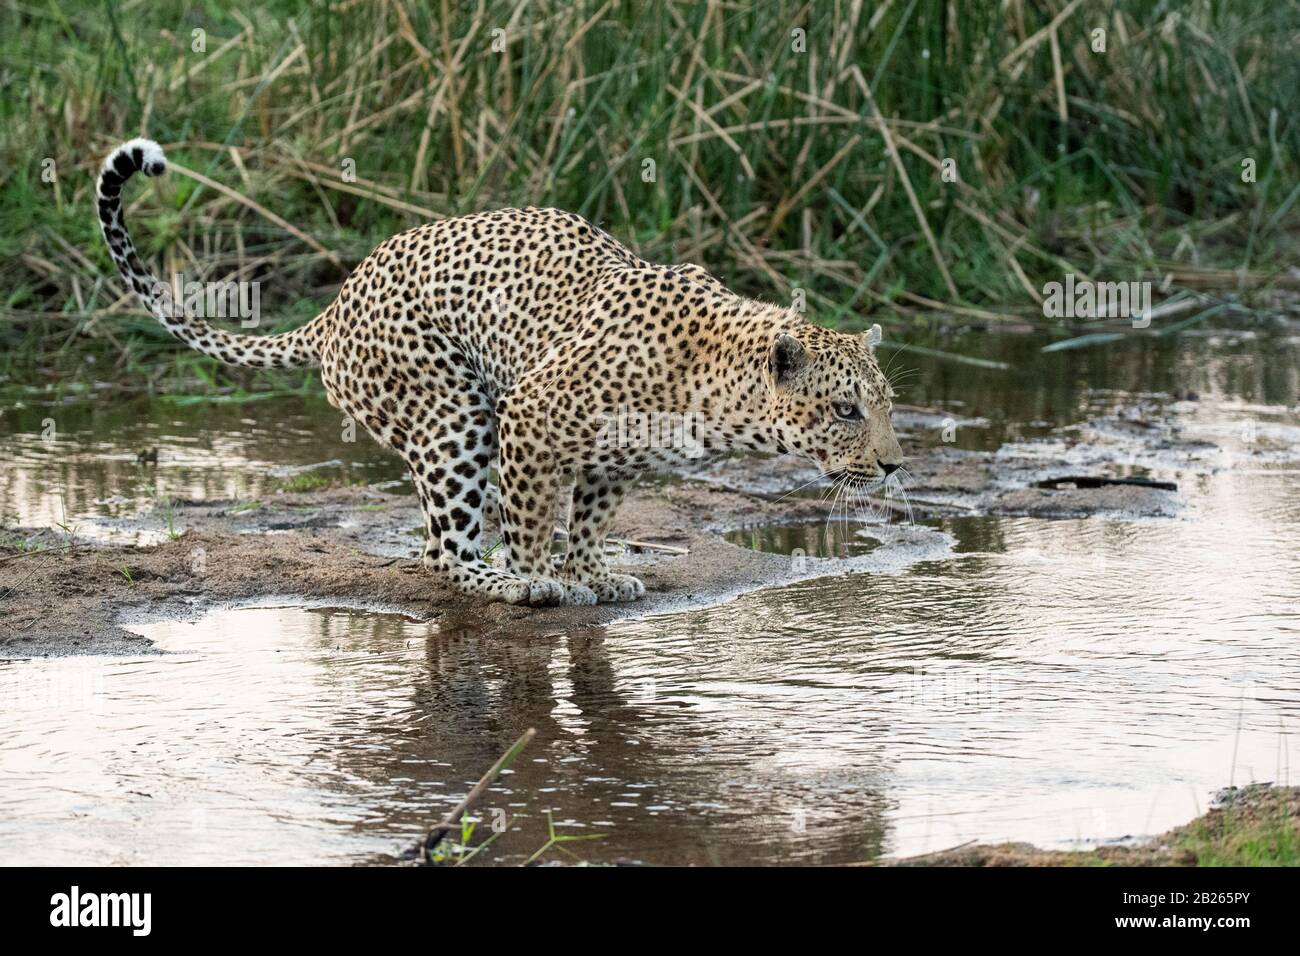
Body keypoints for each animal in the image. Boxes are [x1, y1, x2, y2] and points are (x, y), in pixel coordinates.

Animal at [95, 138, 905, 607]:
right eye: (845, 410)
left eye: (889, 405)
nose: (896, 465)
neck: (715, 386)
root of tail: (334, 308)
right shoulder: (533, 420)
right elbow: (531, 519)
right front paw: (540, 577)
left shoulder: (616, 459)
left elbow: (589, 520)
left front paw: (592, 575)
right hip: (456, 416)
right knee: (440, 549)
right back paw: (500, 581)